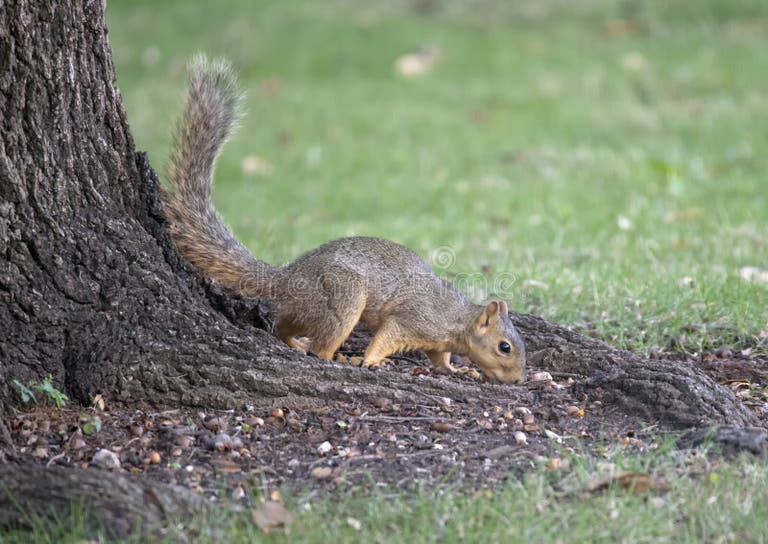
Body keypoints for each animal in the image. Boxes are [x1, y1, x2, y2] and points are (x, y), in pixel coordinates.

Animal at [162, 57, 526, 384]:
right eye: (504, 347)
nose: (519, 381)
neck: (457, 320)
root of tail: (285, 279)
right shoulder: (414, 320)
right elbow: (387, 336)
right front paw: (372, 360)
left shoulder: (437, 341)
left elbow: (440, 357)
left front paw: (454, 369)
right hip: (342, 297)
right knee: (322, 343)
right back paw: (336, 357)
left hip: (310, 309)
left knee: (284, 325)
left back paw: (295, 342)